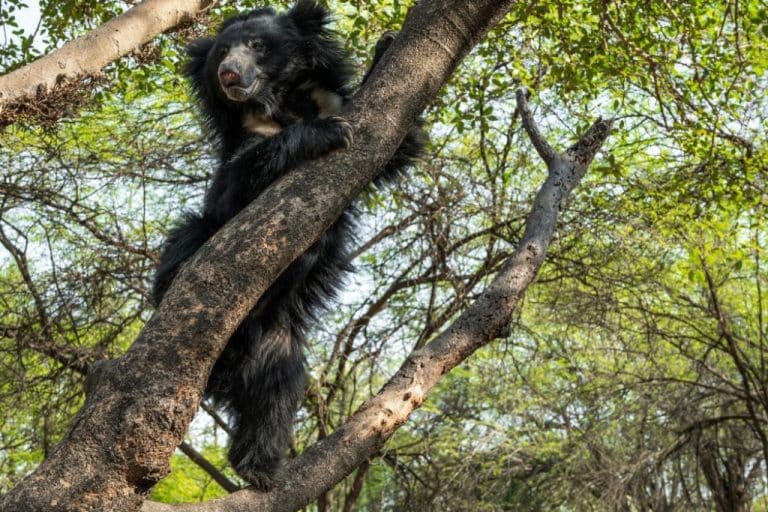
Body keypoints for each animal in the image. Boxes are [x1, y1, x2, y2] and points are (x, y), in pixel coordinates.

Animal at [151, 0, 425, 490]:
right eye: (221, 52)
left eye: (257, 45)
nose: (228, 74)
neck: (280, 104)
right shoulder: (246, 142)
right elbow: (237, 183)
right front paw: (326, 134)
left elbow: (396, 146)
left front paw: (387, 44)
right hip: (203, 249)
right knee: (189, 235)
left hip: (277, 350)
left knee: (275, 399)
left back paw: (260, 469)